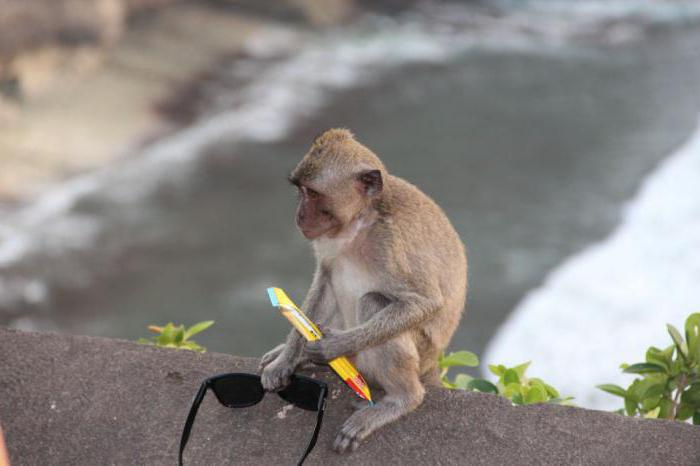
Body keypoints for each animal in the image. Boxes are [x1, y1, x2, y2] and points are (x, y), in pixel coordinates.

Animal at [260, 126, 468, 452]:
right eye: (301, 190)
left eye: (313, 193)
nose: (300, 216)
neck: (358, 222)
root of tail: (433, 364)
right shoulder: (327, 241)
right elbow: (323, 283)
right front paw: (288, 358)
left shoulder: (391, 242)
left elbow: (425, 303)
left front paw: (334, 346)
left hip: (420, 353)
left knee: (373, 302)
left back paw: (401, 399)